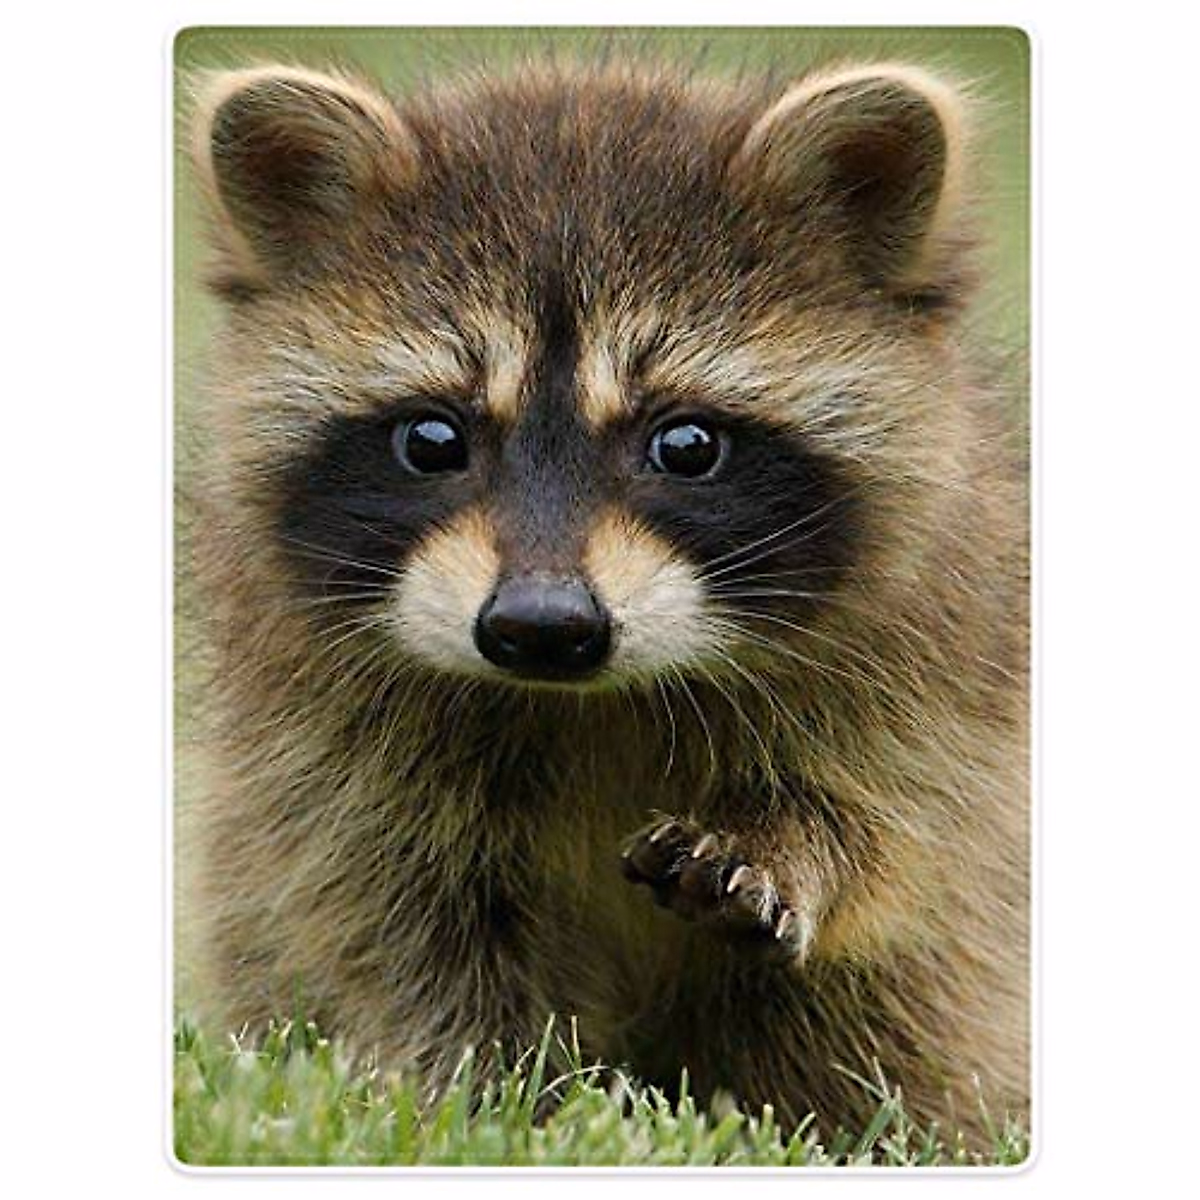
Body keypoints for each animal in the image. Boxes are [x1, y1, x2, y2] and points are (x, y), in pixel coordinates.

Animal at [180, 55, 1029, 1149]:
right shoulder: (324, 739)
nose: (542, 628)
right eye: (432, 440)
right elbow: (394, 918)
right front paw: (494, 1102)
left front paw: (792, 842)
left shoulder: (942, 653)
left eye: (687, 445)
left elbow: (901, 823)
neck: (590, 700)